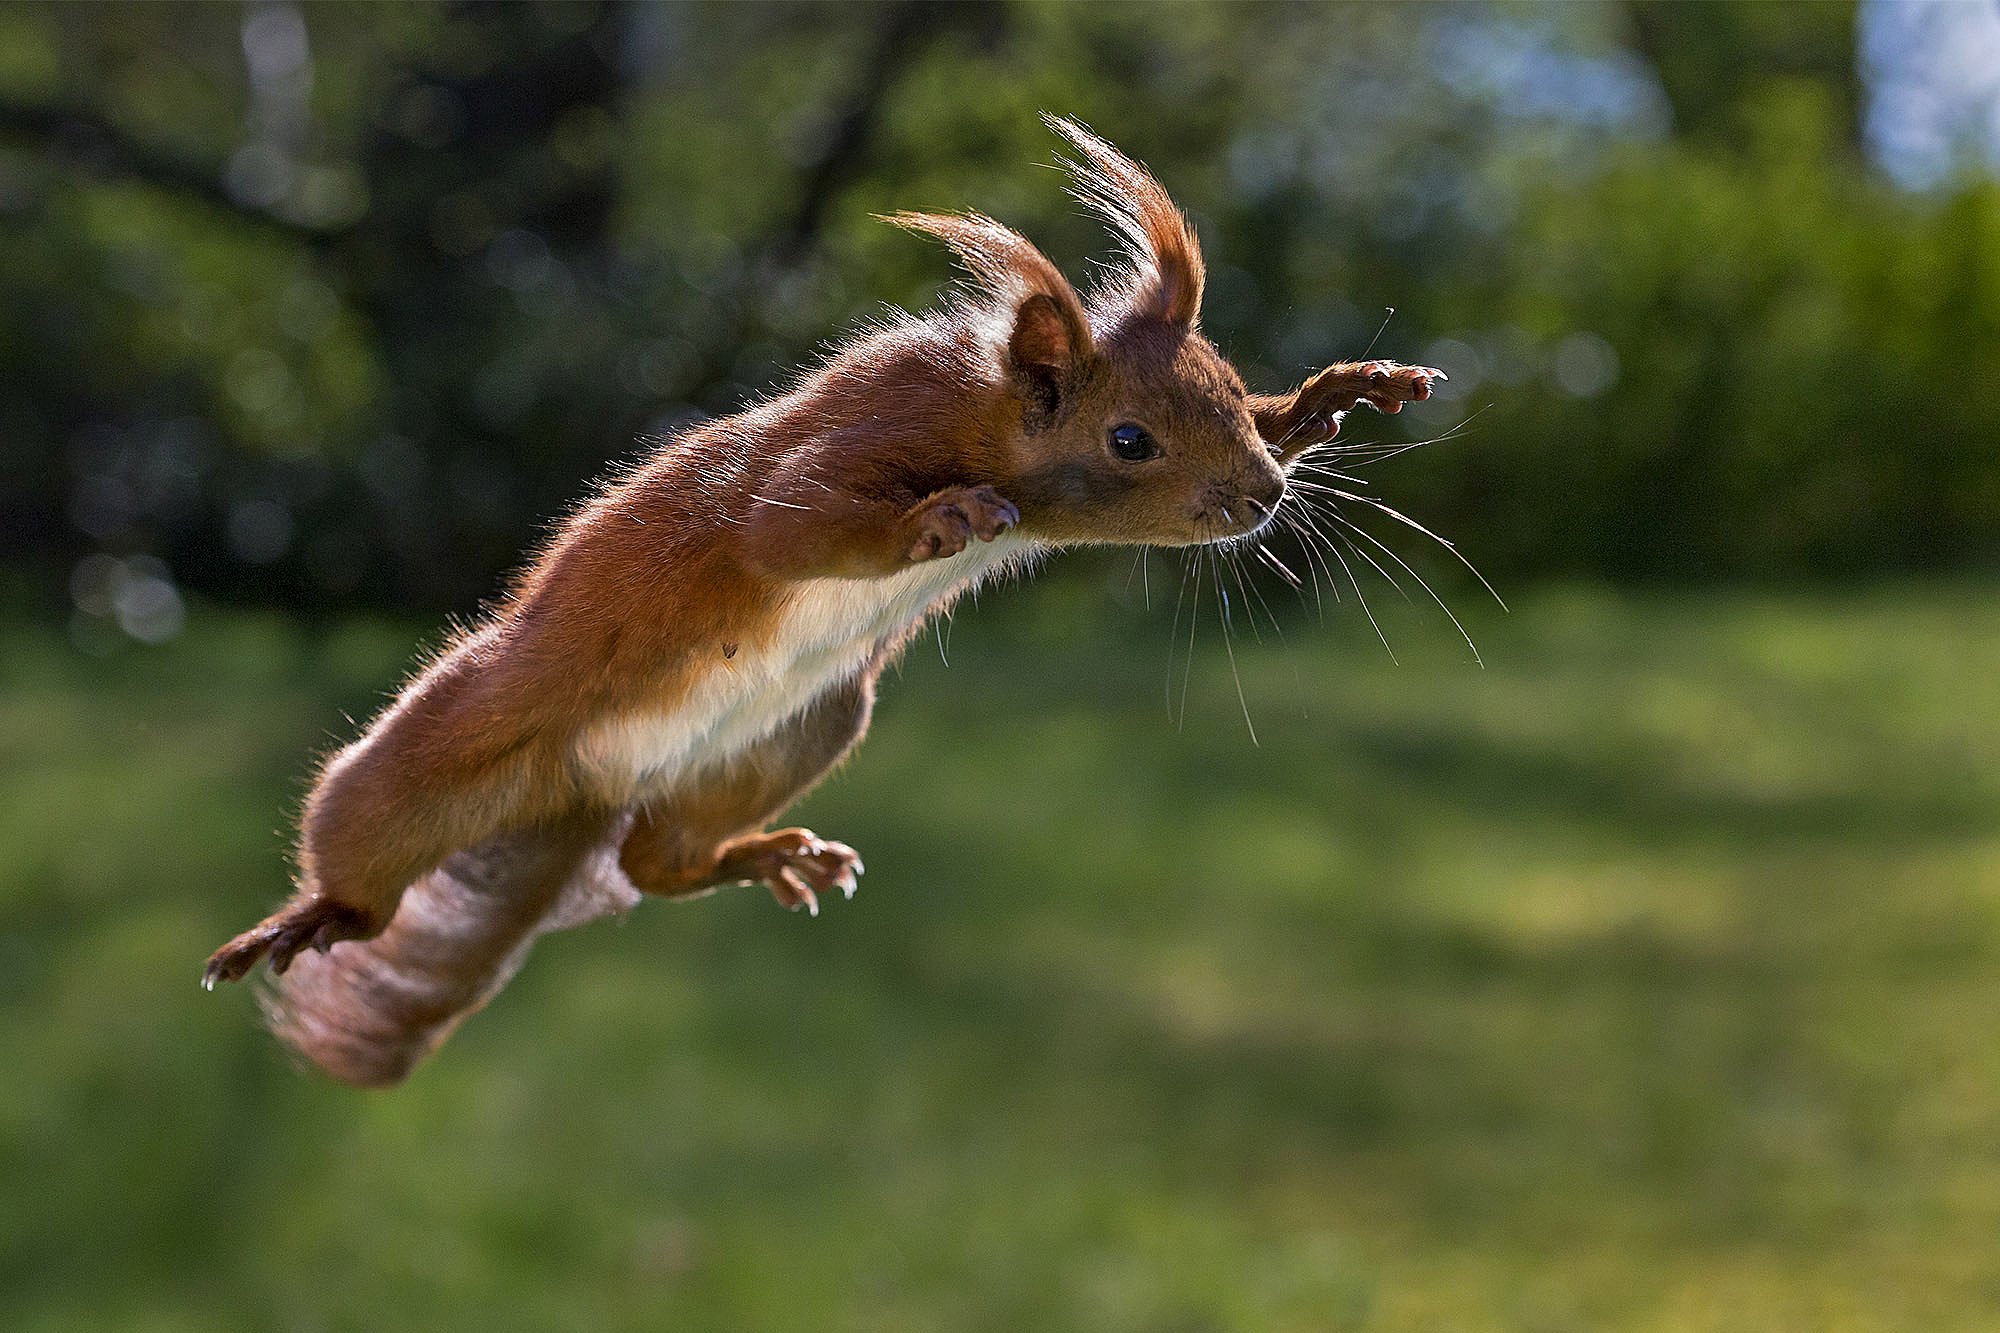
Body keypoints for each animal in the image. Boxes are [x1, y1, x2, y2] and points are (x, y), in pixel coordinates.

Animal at [207, 119, 1440, 1088]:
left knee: (656, 864)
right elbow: (782, 529)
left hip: (792, 733)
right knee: (371, 837)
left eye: (1230, 389)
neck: (994, 419)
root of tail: (593, 791)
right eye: (1129, 441)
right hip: (459, 738)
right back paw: (319, 914)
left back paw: (755, 858)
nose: (1261, 494)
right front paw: (939, 523)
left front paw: (1326, 399)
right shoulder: (856, 442)